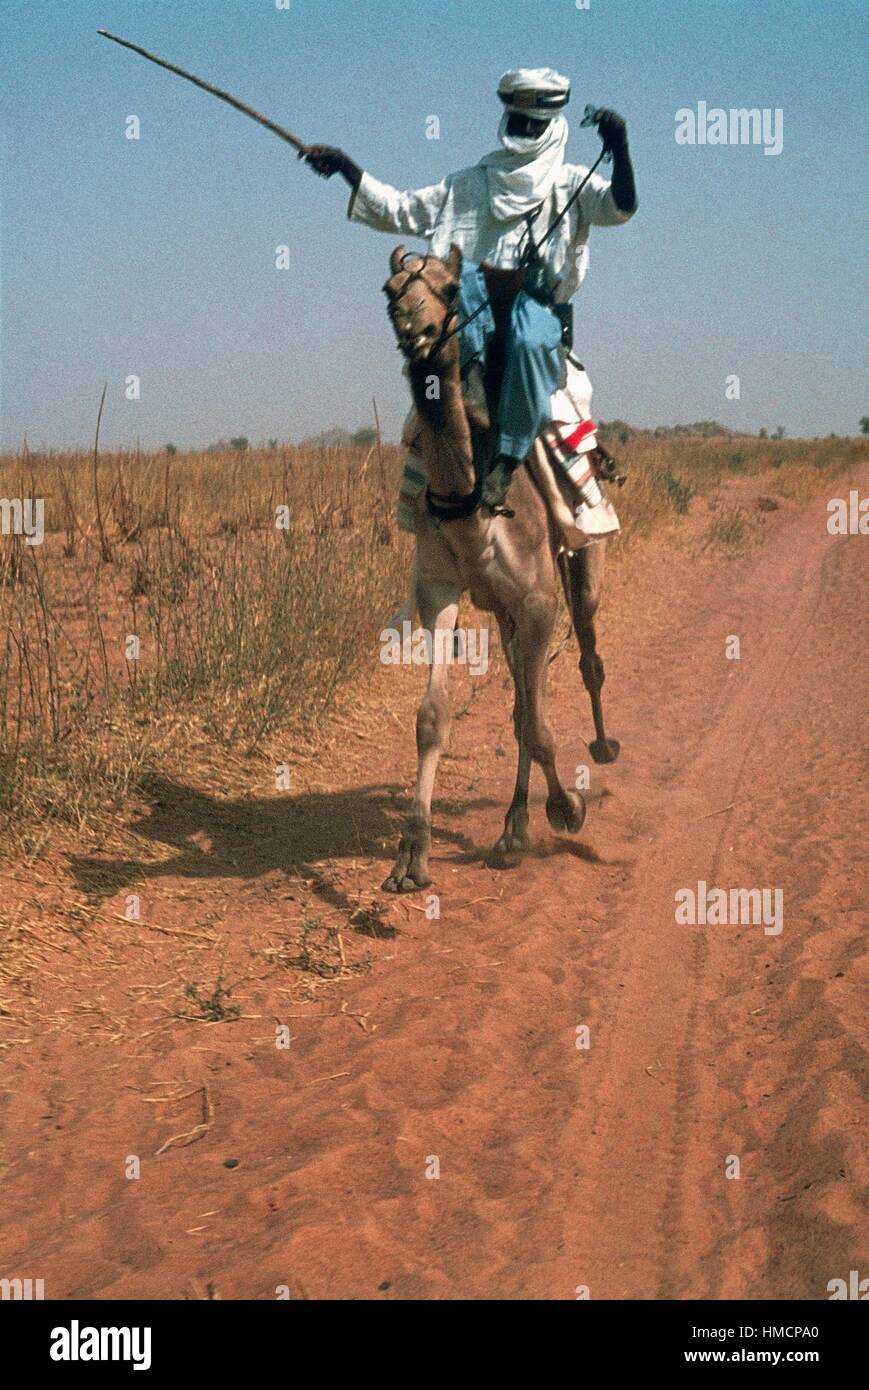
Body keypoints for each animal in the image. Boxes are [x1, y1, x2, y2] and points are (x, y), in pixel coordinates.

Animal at [381, 243, 619, 893]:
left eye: (448, 289)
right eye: (389, 291)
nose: (413, 327)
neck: (472, 502)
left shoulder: (538, 601)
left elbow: (537, 723)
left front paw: (566, 808)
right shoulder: (439, 589)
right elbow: (434, 717)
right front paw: (412, 857)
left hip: (580, 565)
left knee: (584, 657)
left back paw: (598, 750)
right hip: (505, 613)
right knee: (520, 699)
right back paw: (512, 827)